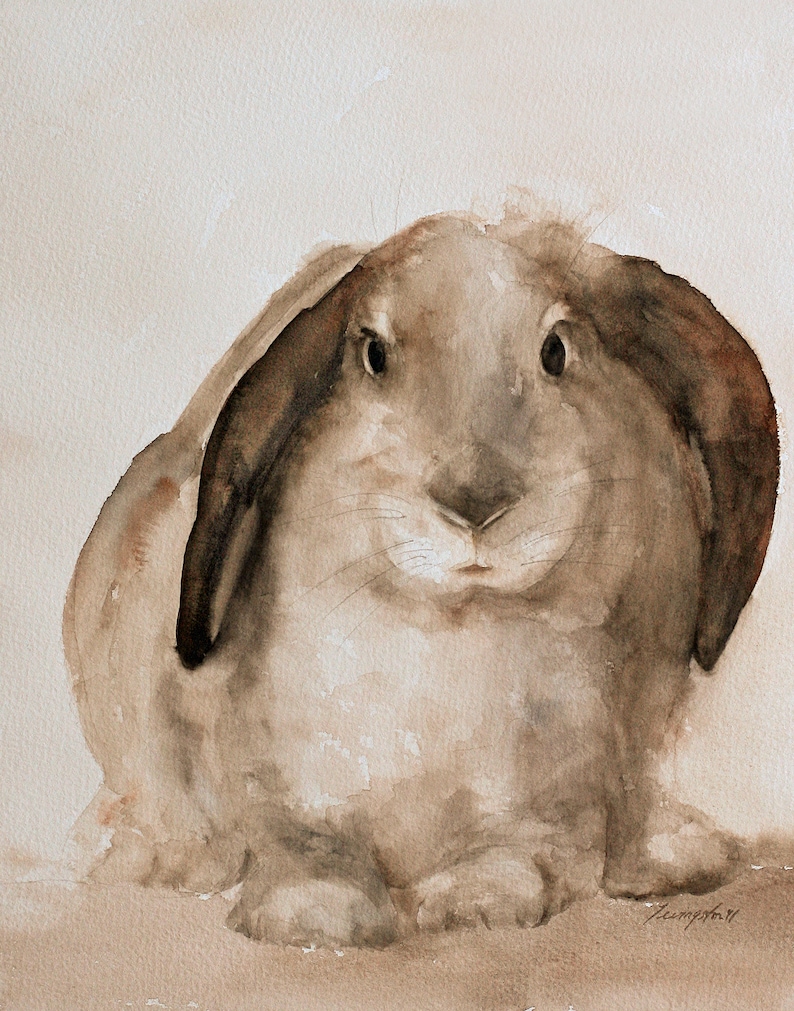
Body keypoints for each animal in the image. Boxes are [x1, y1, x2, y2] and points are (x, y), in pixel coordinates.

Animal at [64, 210, 779, 948]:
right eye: (374, 354)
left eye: (555, 351)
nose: (476, 503)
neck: (455, 626)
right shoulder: (279, 772)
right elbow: (302, 838)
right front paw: (313, 911)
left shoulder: (557, 788)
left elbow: (518, 846)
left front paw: (478, 901)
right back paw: (157, 859)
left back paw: (673, 853)